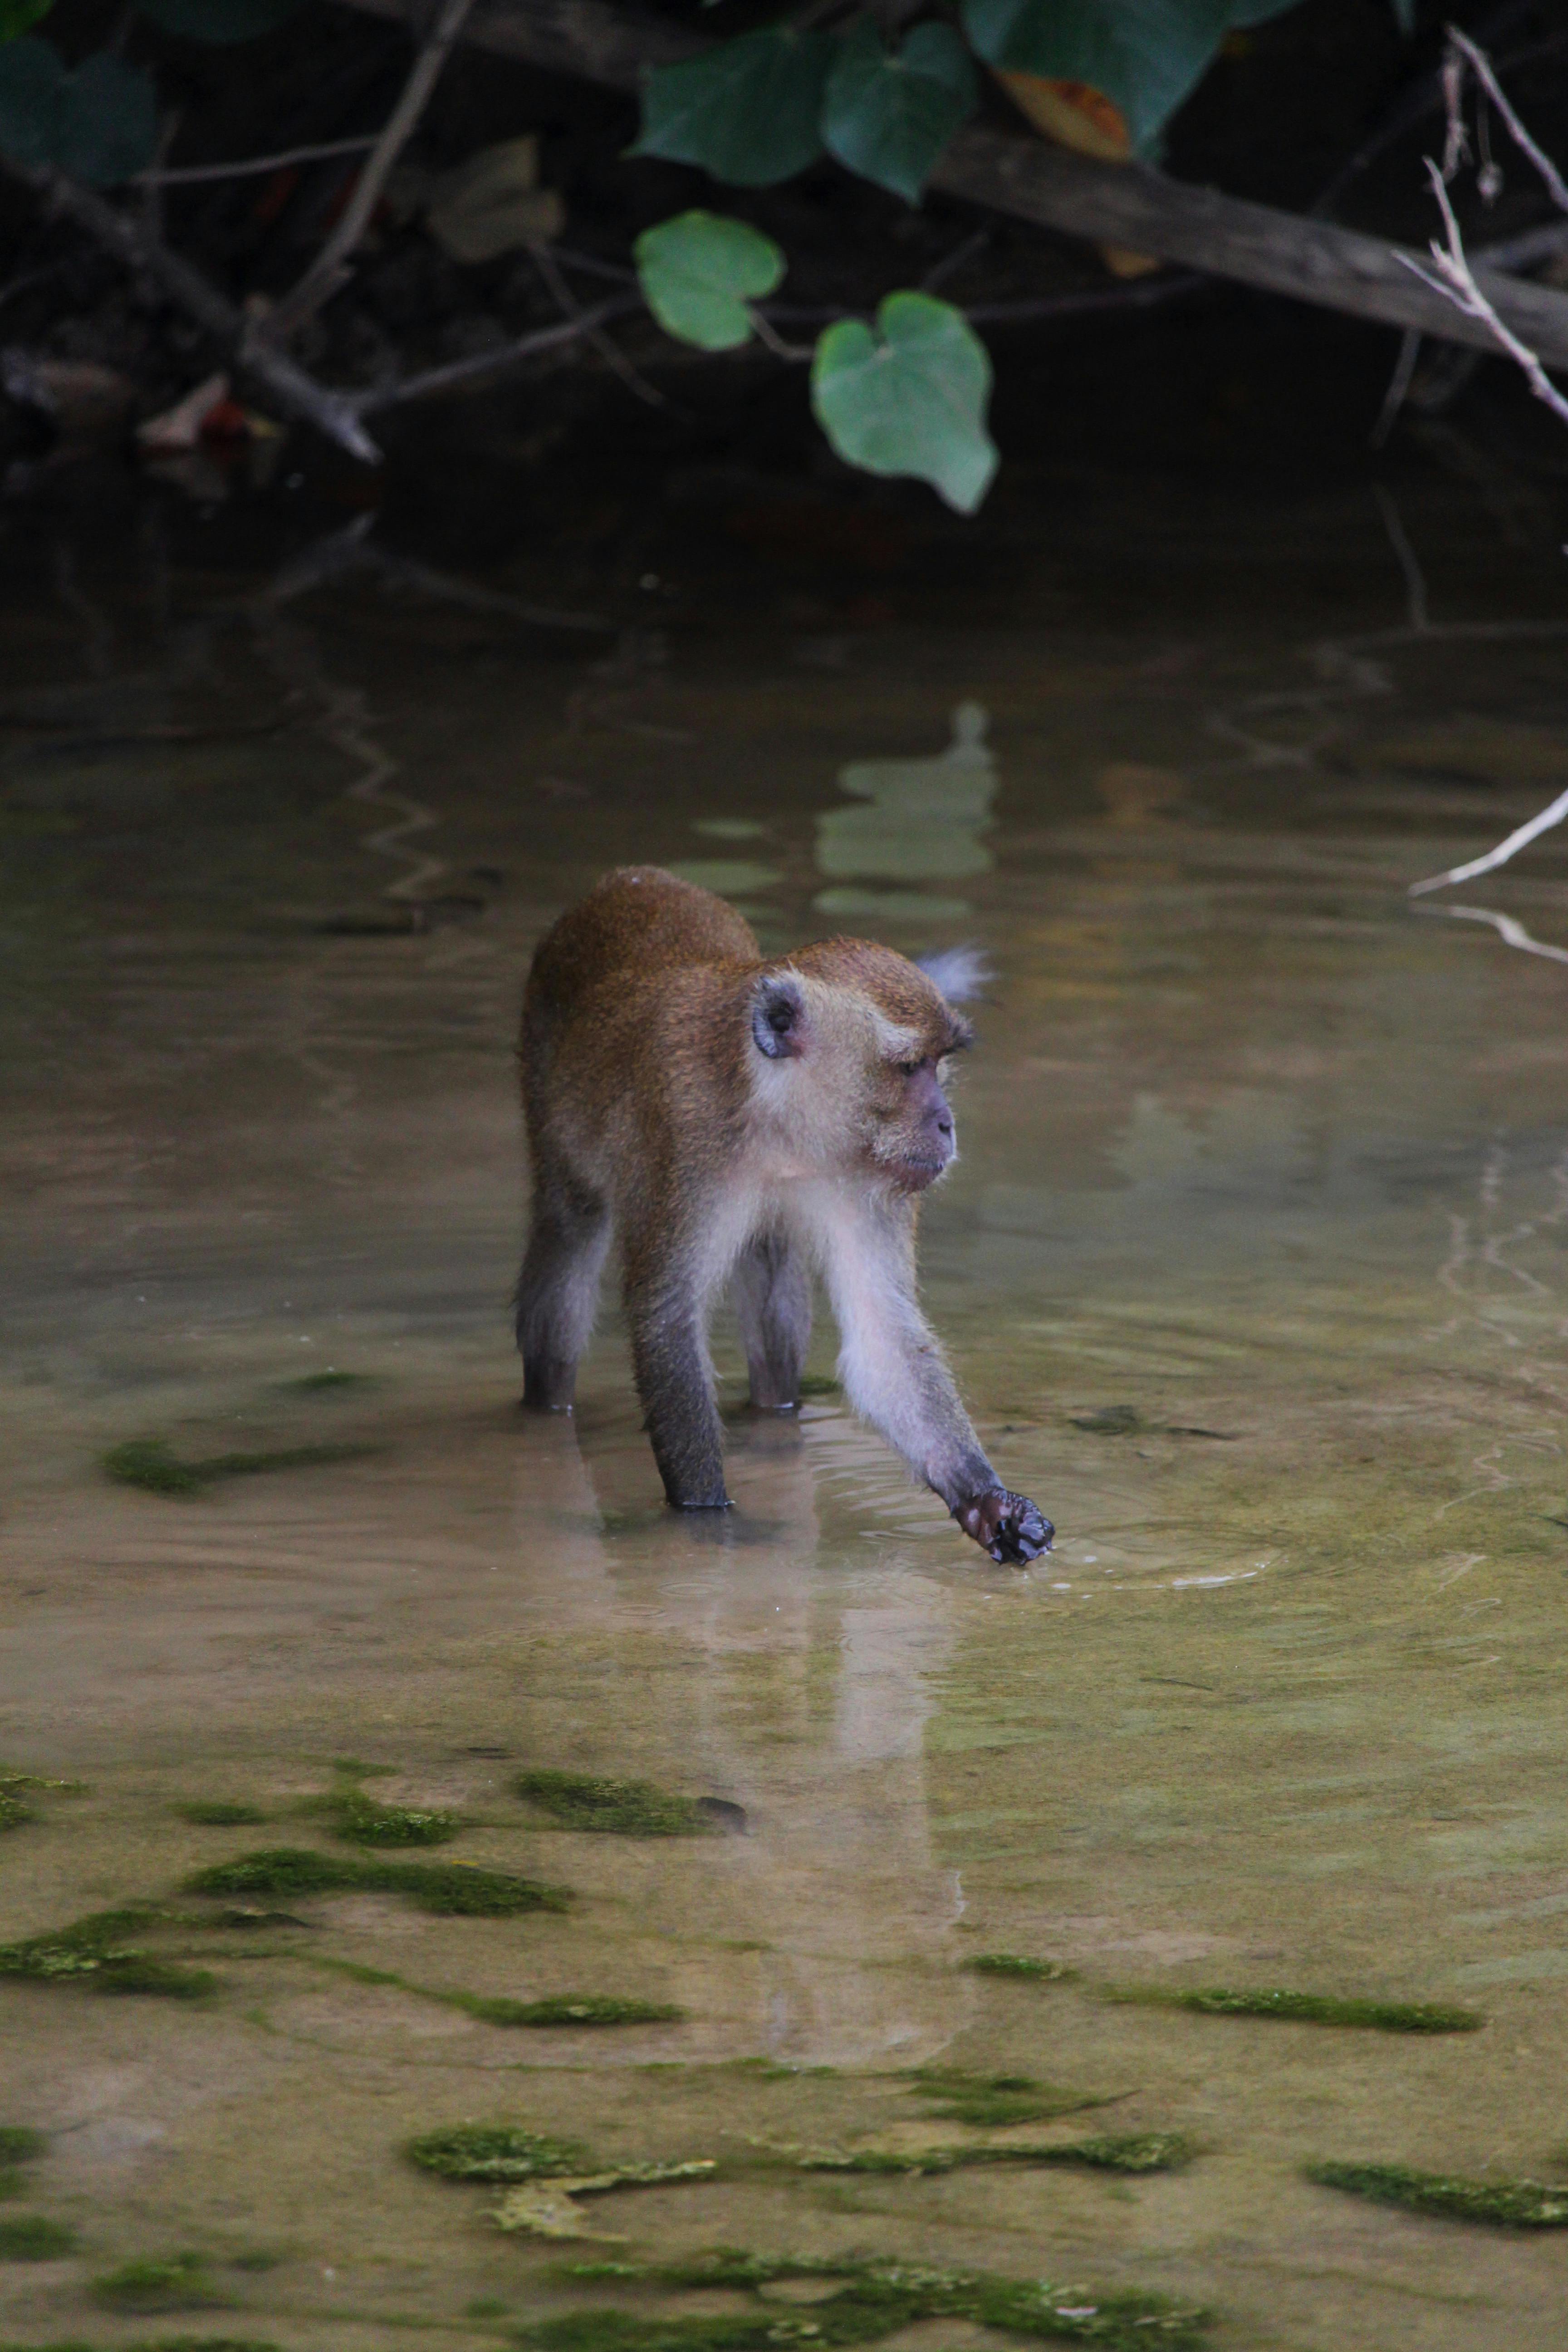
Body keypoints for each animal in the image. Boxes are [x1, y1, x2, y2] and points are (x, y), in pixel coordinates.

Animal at [514, 867, 1051, 1566]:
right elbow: (667, 1319)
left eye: (940, 1063)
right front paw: (707, 1519)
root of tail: (626, 881)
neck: (780, 1122)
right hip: (543, 1076)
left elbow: (883, 1336)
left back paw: (775, 1413)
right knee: (568, 1238)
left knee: (771, 1275)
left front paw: (988, 1503)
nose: (945, 1124)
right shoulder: (684, 1143)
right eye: (909, 1068)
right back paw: (545, 1399)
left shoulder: (873, 1180)